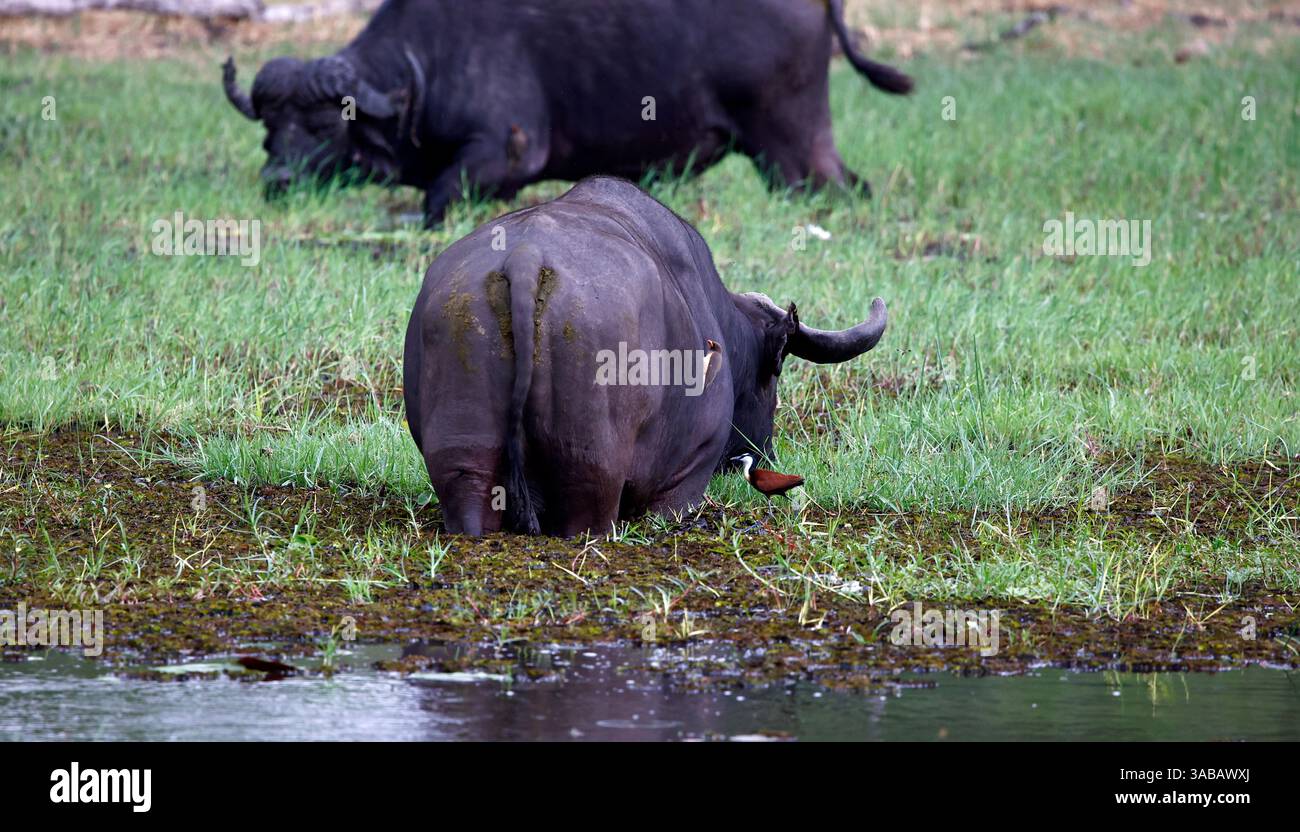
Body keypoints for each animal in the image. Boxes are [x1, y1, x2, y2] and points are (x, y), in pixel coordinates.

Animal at [223, 0, 912, 226]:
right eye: (267, 131)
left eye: (322, 126)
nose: (276, 182)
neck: (429, 64)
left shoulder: (498, 151)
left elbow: (438, 199)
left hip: (791, 147)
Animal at [403, 176, 887, 536]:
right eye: (775, 375)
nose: (767, 455)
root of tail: (525, 257)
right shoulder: (686, 478)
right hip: (592, 472)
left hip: (463, 450)